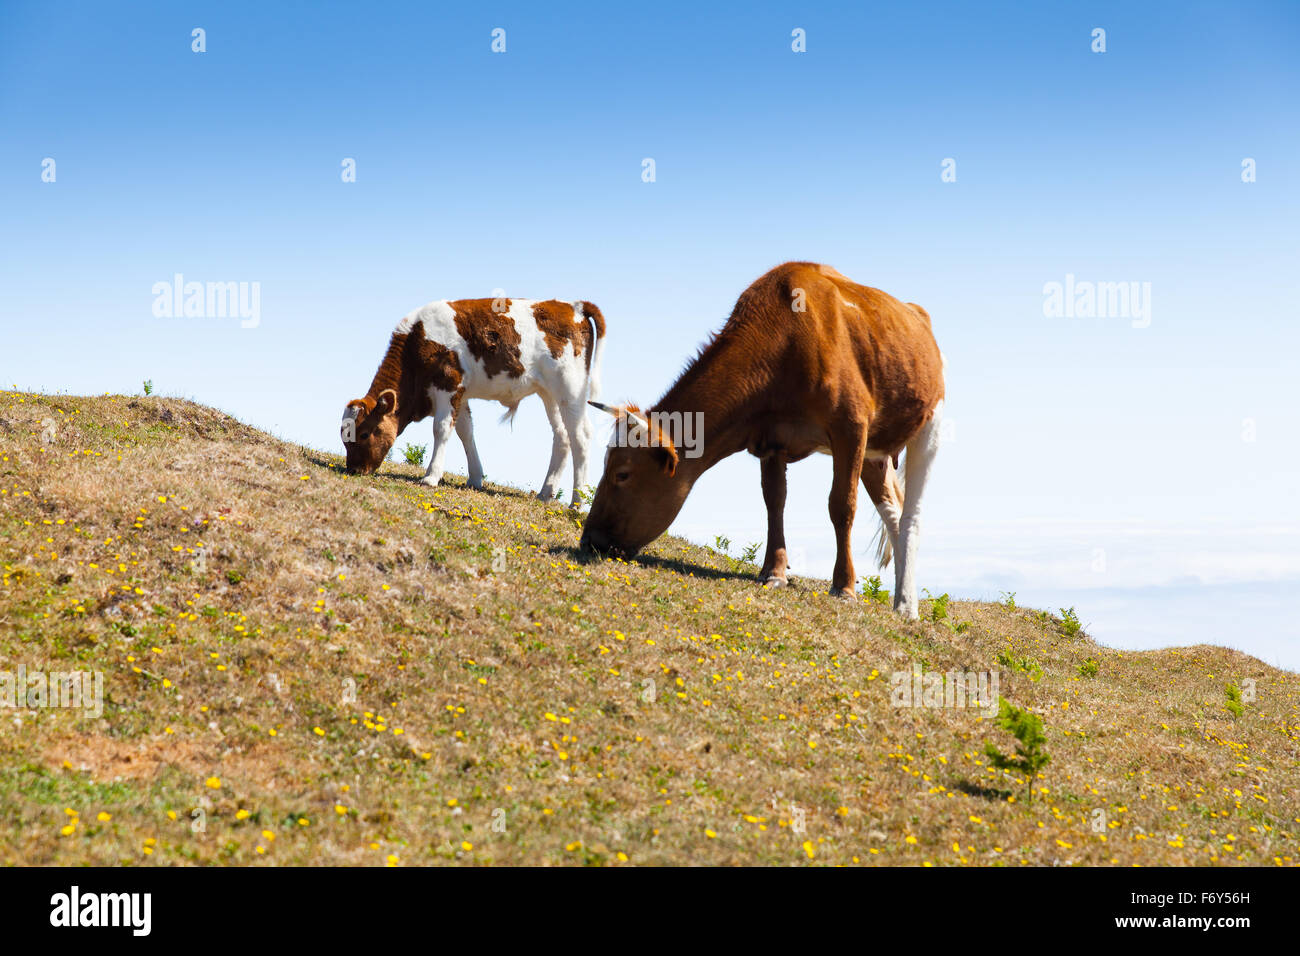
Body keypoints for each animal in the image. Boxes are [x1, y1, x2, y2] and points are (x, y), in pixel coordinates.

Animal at [342, 297, 606, 502]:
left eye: (363, 434)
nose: (354, 470)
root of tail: (572, 306)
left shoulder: (448, 385)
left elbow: (441, 429)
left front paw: (431, 476)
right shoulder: (461, 393)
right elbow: (465, 432)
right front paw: (476, 477)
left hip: (570, 388)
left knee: (580, 436)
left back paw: (577, 501)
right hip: (549, 393)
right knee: (562, 436)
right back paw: (546, 493)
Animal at [579, 262, 944, 620]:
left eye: (622, 474)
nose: (588, 538)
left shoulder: (850, 426)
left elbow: (841, 505)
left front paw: (844, 587)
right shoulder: (772, 440)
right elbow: (774, 502)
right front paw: (774, 572)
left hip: (929, 425)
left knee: (910, 516)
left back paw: (906, 605)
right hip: (876, 450)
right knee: (893, 512)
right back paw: (902, 601)